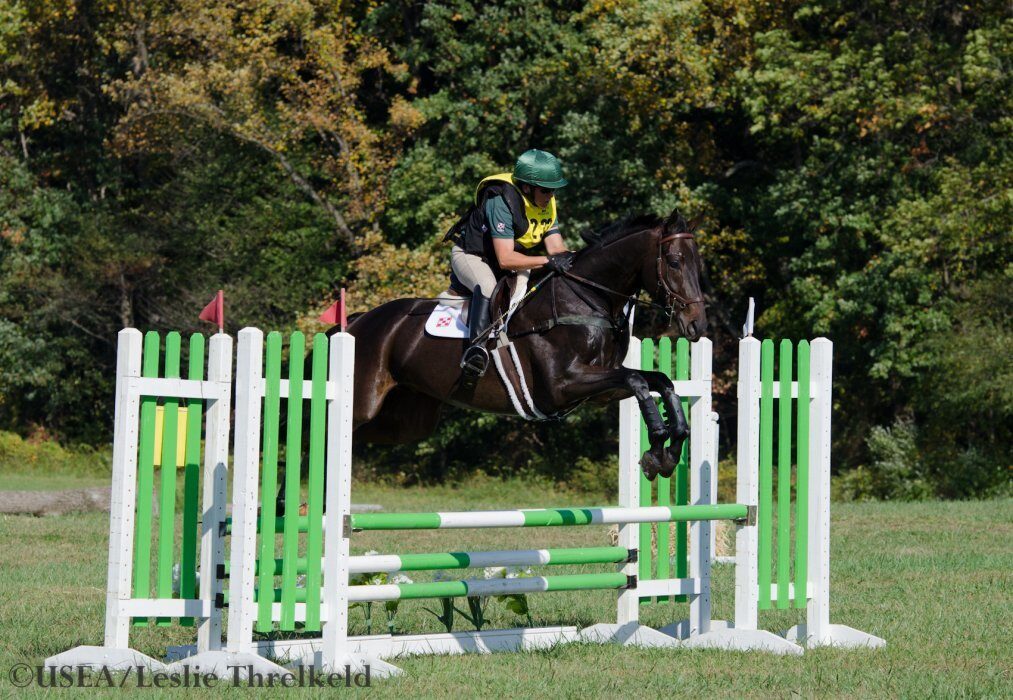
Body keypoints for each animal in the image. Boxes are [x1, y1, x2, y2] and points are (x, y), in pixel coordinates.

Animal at [344, 210, 707, 480]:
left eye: (696, 262)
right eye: (674, 262)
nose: (697, 324)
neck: (586, 297)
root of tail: (359, 320)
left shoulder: (601, 389)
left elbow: (659, 381)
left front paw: (668, 452)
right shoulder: (563, 385)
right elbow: (638, 381)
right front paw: (657, 445)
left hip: (407, 420)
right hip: (365, 404)